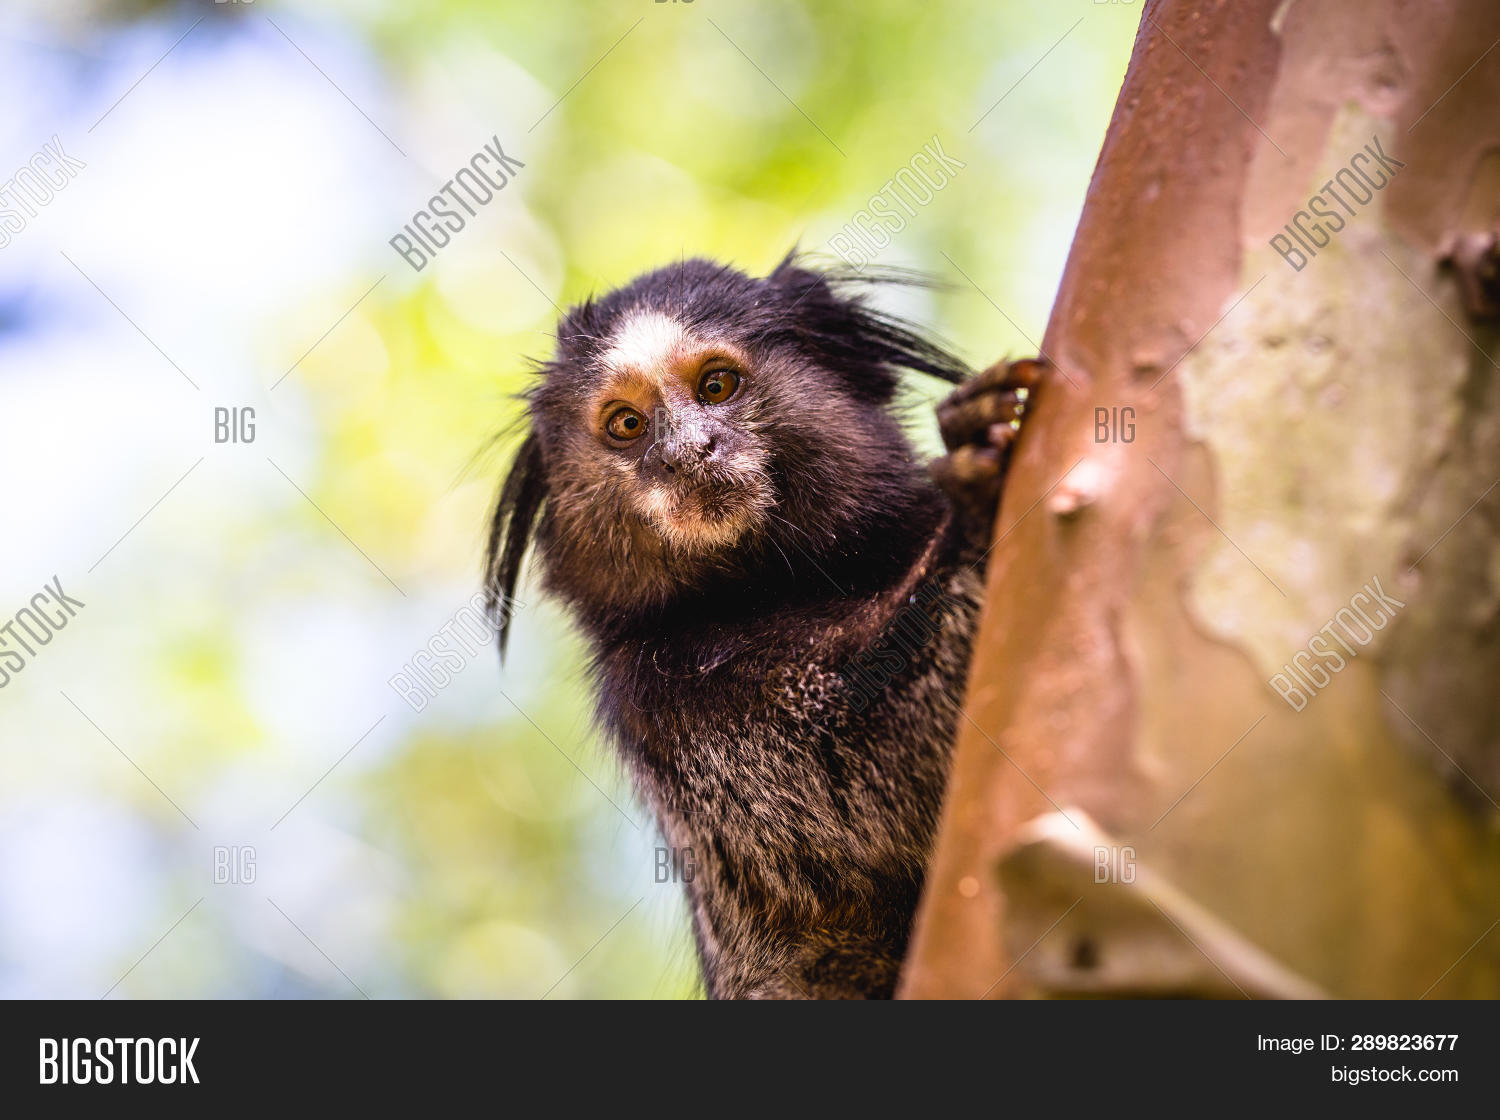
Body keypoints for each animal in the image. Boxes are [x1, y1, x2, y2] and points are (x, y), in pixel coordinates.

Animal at [485, 251, 1041, 998]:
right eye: (626, 425)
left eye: (717, 385)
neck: (788, 585)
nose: (687, 452)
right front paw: (973, 507)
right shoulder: (666, 699)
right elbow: (880, 767)